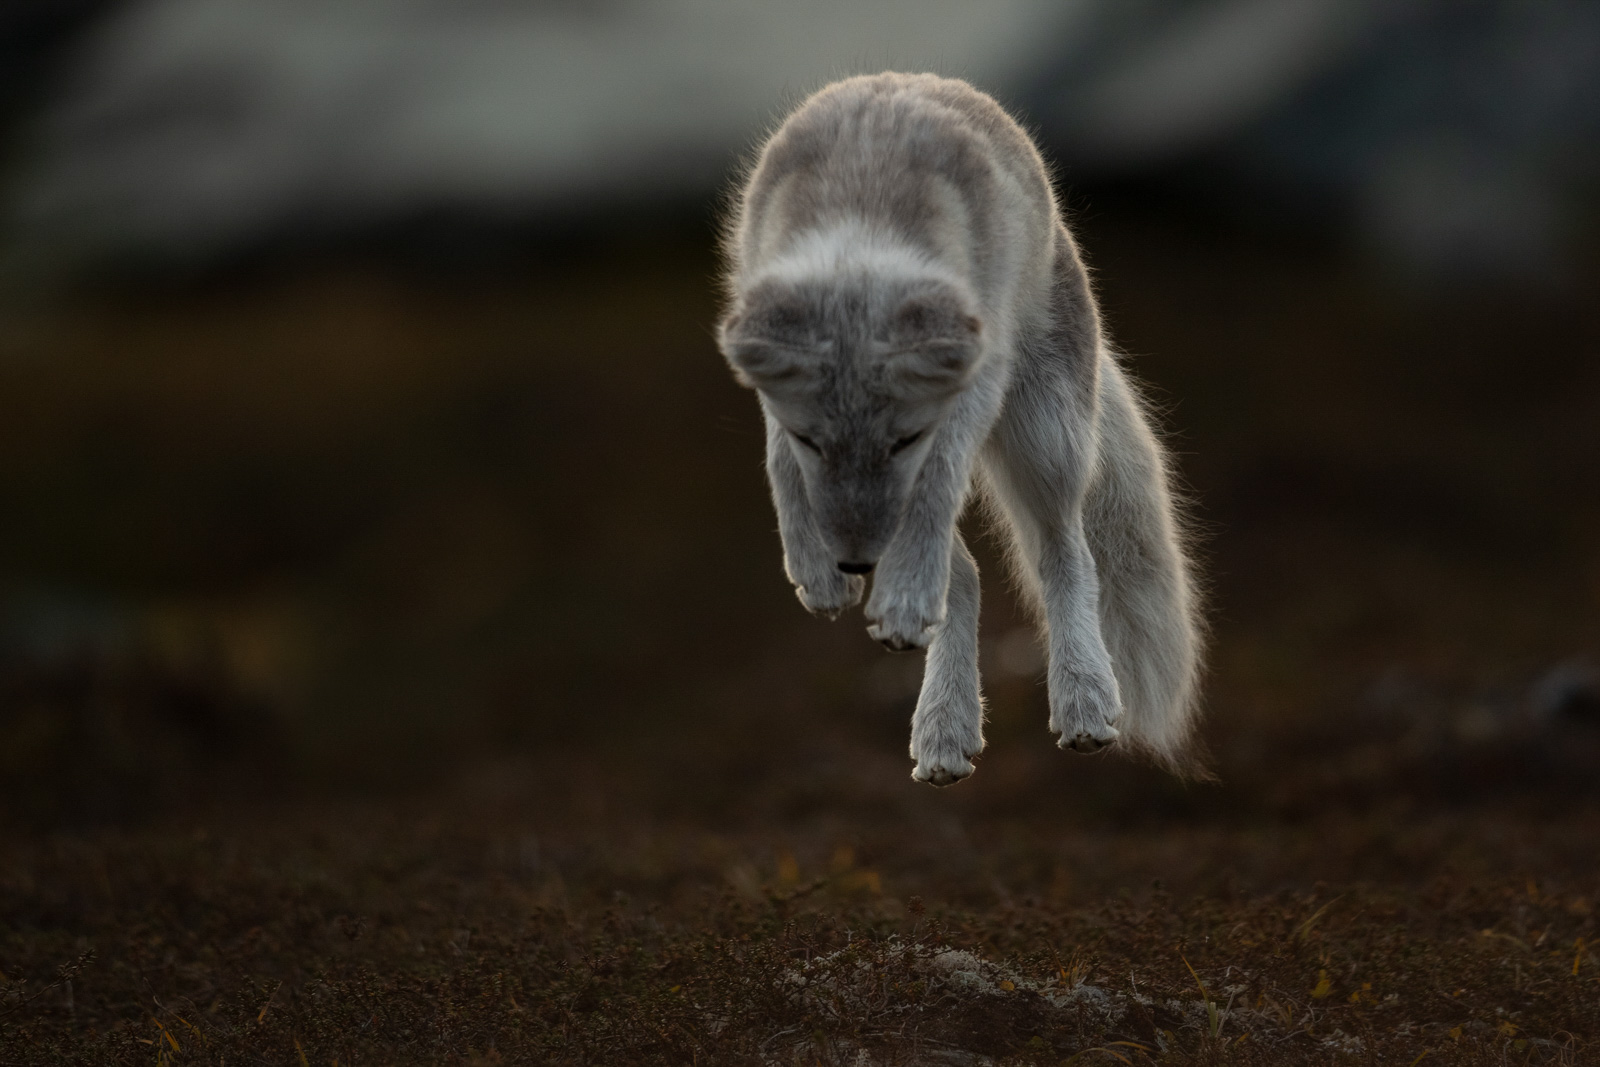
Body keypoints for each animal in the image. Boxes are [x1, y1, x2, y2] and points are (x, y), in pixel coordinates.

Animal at [716, 73, 1204, 785]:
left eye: (904, 441)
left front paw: (893, 592)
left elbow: (937, 490)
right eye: (811, 440)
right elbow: (780, 469)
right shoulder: (780, 414)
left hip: (1045, 436)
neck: (861, 221)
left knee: (1065, 552)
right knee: (969, 578)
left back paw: (1082, 695)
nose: (854, 561)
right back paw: (944, 727)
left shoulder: (959, 409)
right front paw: (818, 571)